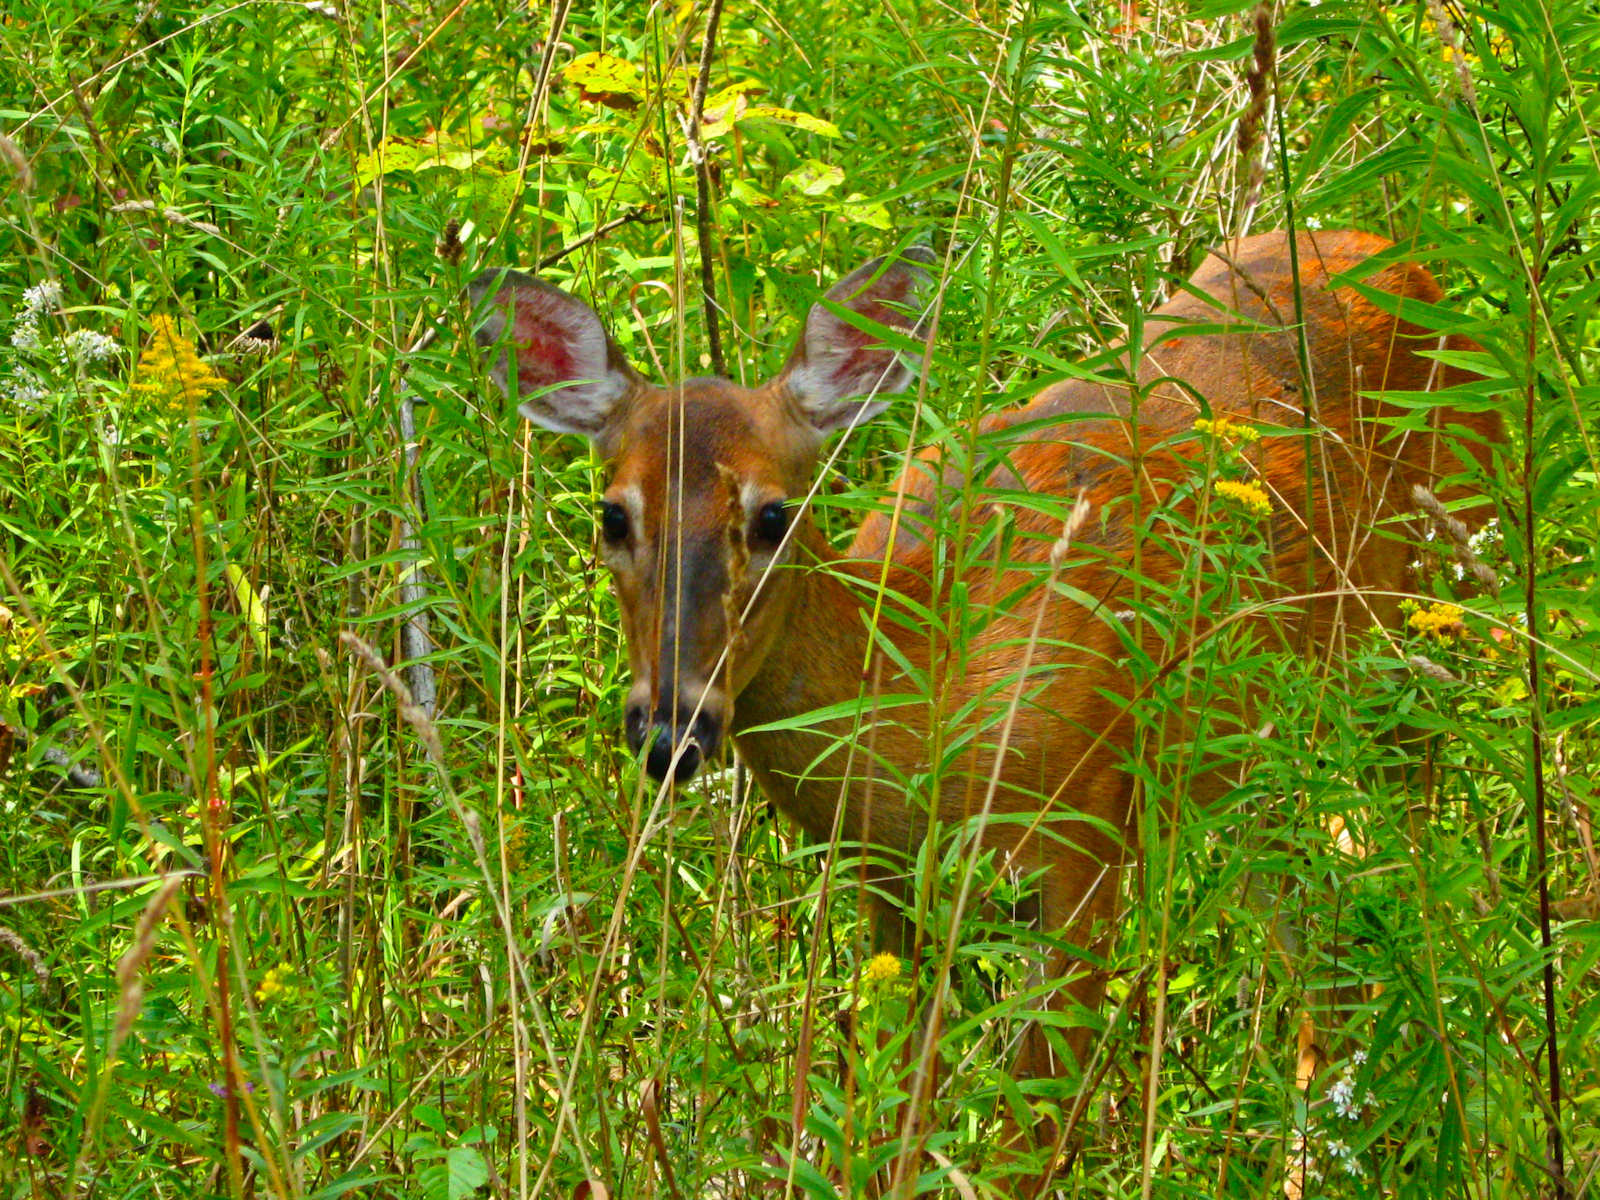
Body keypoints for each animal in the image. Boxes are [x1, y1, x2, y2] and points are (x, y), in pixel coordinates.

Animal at [471, 229, 1499, 1173]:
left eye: (771, 515)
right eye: (611, 513)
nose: (673, 728)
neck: (929, 688)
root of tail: (1399, 253)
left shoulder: (1082, 836)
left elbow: (1023, 1137)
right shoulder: (890, 883)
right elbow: (895, 1113)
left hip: (1415, 642)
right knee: (1326, 953)